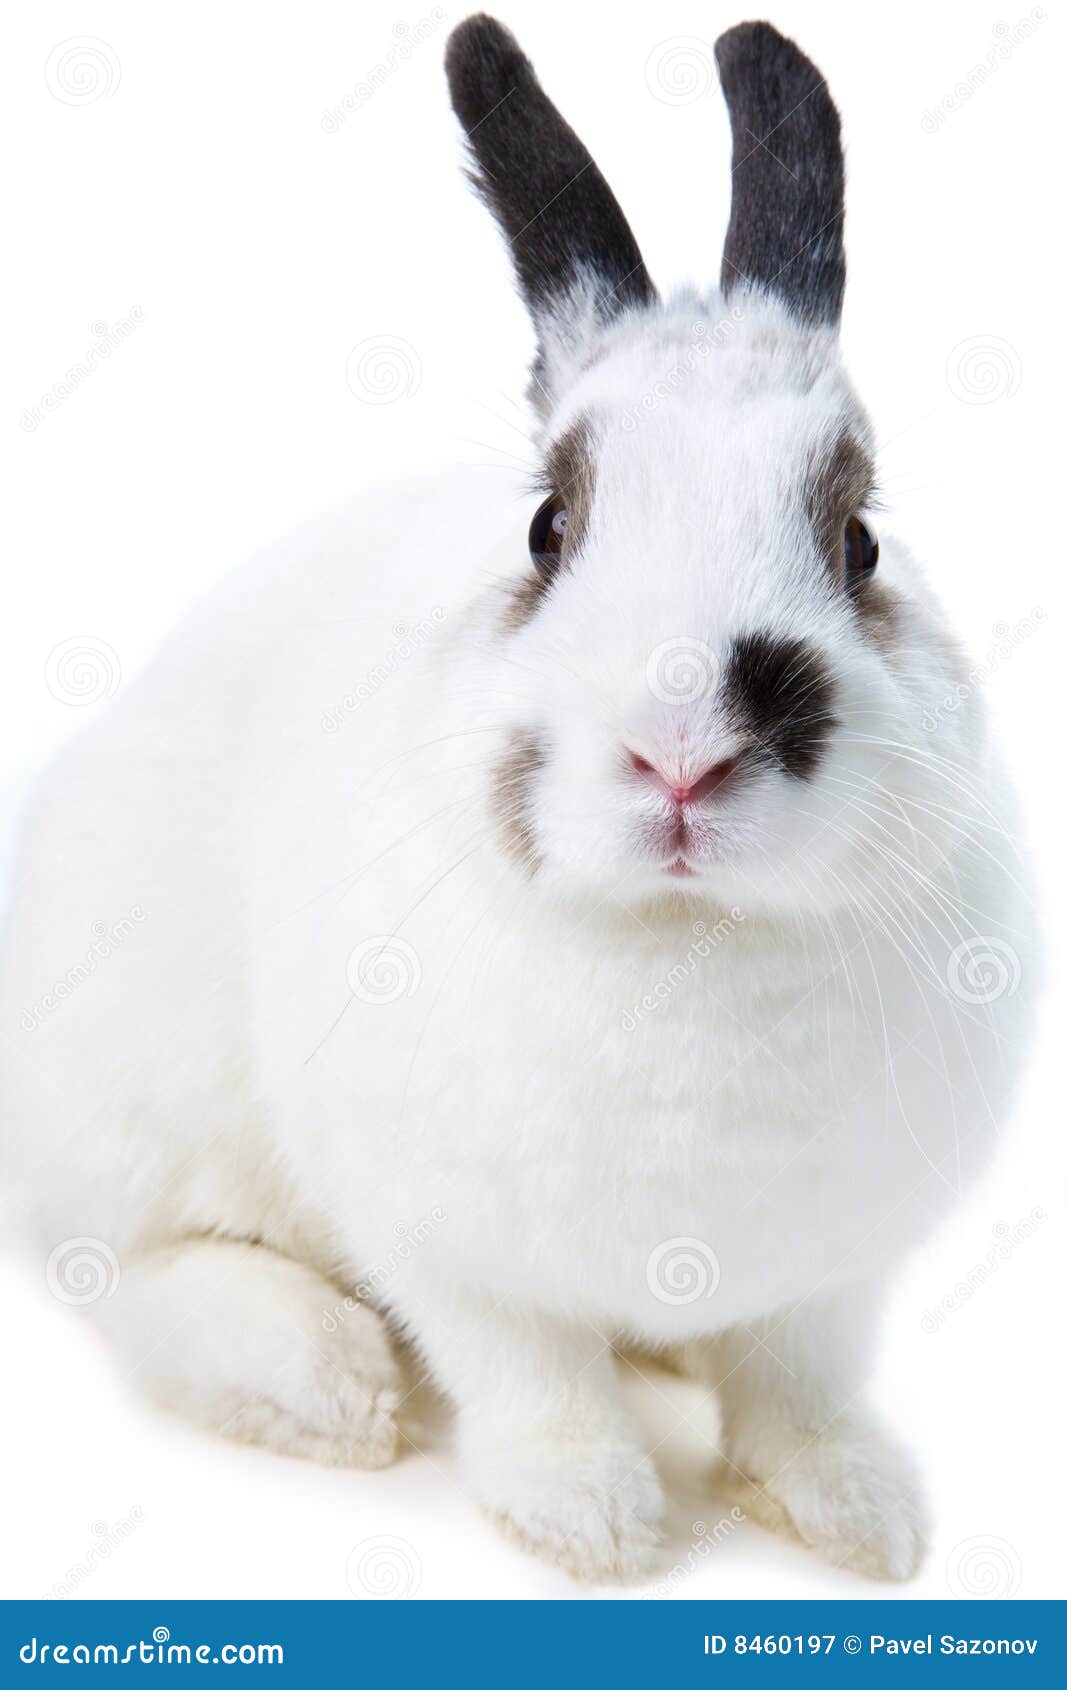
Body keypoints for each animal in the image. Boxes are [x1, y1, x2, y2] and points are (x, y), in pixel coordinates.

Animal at [1, 16, 1034, 1585]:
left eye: (855, 539)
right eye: (550, 527)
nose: (681, 750)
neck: (683, 944)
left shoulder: (828, 1281)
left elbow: (795, 1387)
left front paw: (858, 1516)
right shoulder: (452, 1253)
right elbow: (528, 1374)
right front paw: (590, 1520)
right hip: (126, 1098)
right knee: (135, 1268)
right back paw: (322, 1378)